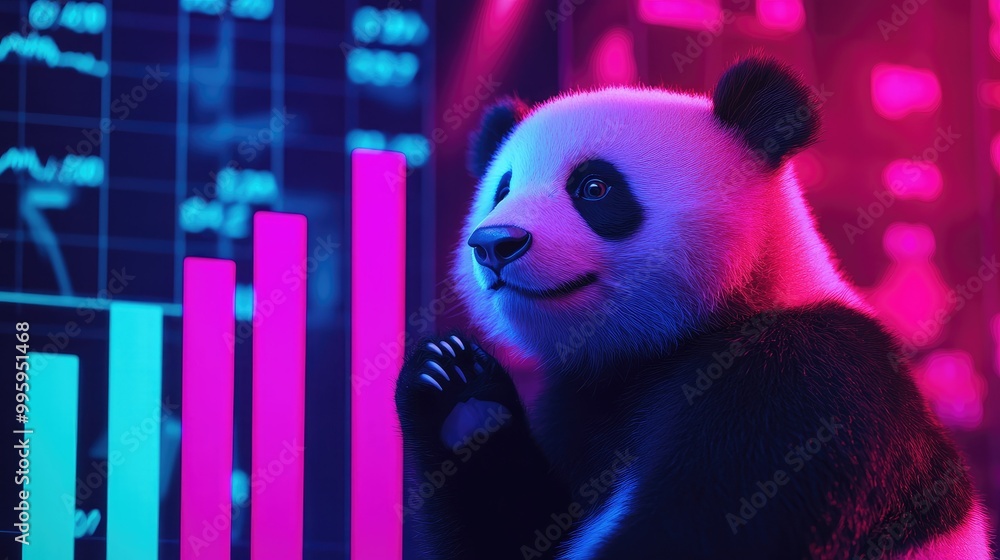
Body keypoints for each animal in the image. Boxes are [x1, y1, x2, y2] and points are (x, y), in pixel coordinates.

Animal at [394, 56, 991, 559]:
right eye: (501, 190)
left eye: (594, 187)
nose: (495, 244)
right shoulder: (581, 401)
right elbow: (519, 527)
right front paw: (457, 388)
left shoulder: (802, 384)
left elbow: (699, 526)